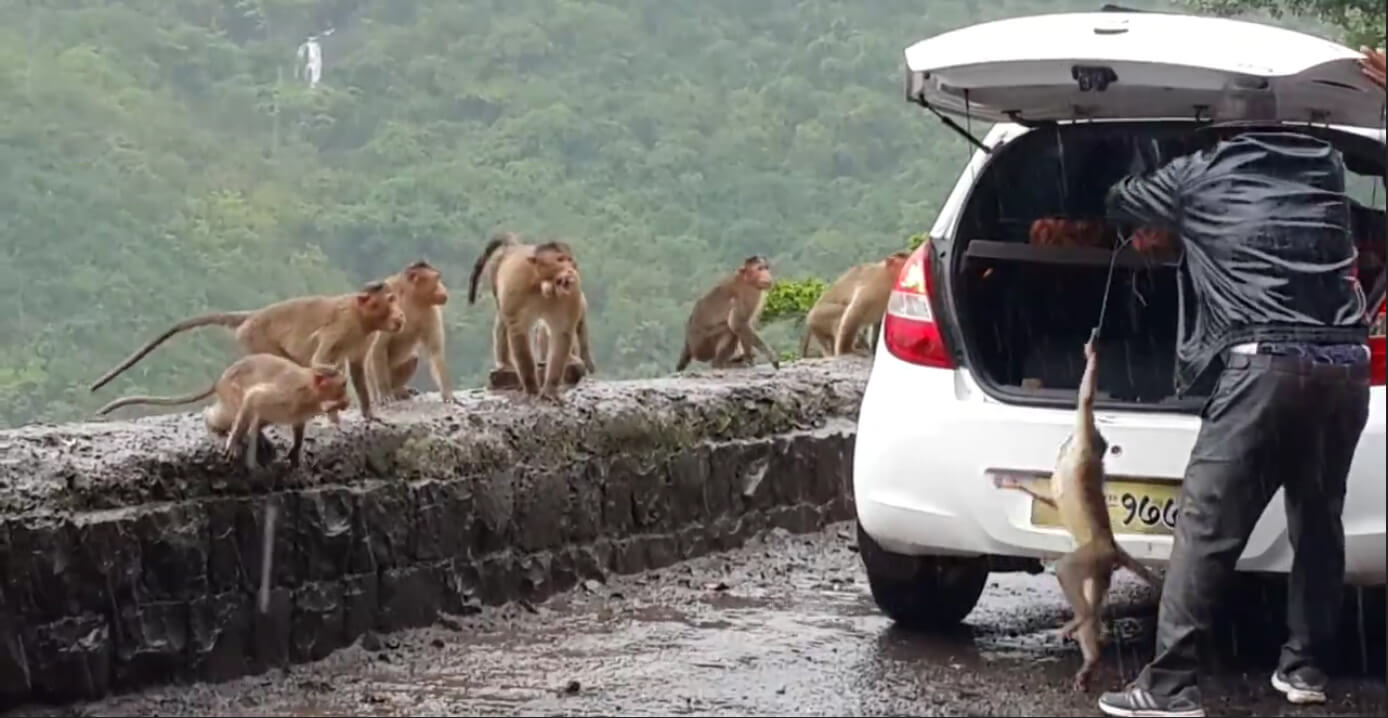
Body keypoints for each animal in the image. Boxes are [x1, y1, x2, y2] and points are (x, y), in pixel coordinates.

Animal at [89, 282, 405, 422]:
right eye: (388, 301)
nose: (400, 315)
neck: (363, 318)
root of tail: (252, 316)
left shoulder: (364, 336)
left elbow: (357, 368)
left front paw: (369, 414)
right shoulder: (343, 326)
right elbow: (320, 361)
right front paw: (334, 396)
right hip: (256, 339)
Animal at [96, 353, 350, 471]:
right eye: (343, 385)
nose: (347, 400)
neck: (311, 393)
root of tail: (221, 378)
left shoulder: (300, 408)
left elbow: (298, 426)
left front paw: (296, 451)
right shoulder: (289, 394)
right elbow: (254, 397)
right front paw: (234, 441)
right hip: (231, 394)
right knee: (234, 411)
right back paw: (215, 424)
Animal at [364, 260, 456, 406]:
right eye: (437, 279)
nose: (444, 289)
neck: (411, 298)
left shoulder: (431, 311)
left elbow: (435, 352)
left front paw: (447, 393)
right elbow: (379, 347)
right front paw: (385, 393)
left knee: (413, 358)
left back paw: (398, 389)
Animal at [468, 232, 595, 398]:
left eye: (570, 260)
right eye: (560, 260)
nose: (571, 269)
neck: (545, 285)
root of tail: (513, 246)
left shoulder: (573, 293)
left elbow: (563, 331)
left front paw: (550, 389)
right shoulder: (517, 284)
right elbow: (518, 329)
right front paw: (532, 387)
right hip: (496, 272)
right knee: (504, 319)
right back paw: (505, 363)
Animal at [994, 338, 1160, 692]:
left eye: (1103, 440)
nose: (1104, 442)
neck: (1082, 449)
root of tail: (1111, 545)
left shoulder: (1083, 438)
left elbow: (1085, 400)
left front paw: (1093, 358)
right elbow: (1049, 498)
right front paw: (1012, 482)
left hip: (1092, 555)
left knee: (1067, 570)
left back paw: (1080, 623)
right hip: (1100, 568)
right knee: (1091, 598)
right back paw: (1090, 658)